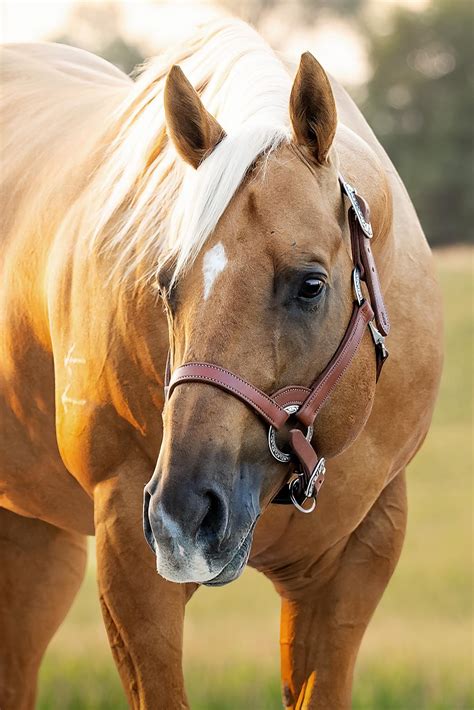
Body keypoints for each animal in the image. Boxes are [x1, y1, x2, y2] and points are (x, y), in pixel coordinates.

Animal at [0, 17, 443, 709]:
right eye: (166, 286)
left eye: (311, 285)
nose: (185, 515)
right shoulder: (131, 554)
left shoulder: (357, 558)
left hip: (35, 539)